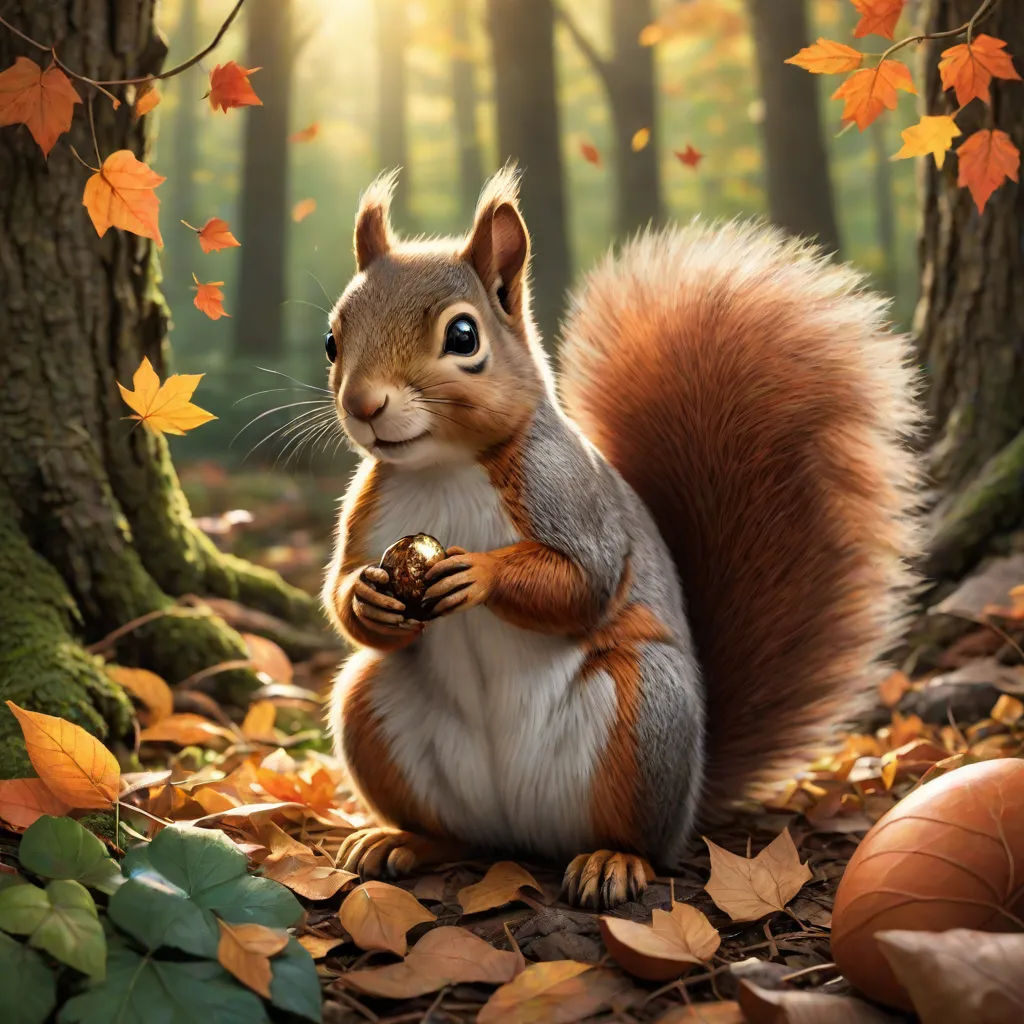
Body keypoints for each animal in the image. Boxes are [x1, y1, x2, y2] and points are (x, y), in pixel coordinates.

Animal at [322, 166, 920, 909]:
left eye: (463, 337)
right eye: (332, 339)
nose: (363, 405)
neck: (445, 466)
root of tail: (519, 833)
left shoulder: (570, 495)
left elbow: (584, 583)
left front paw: (480, 573)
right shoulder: (368, 508)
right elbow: (339, 589)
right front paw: (369, 596)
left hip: (644, 715)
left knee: (640, 839)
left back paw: (613, 861)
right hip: (371, 709)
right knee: (449, 829)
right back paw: (401, 840)